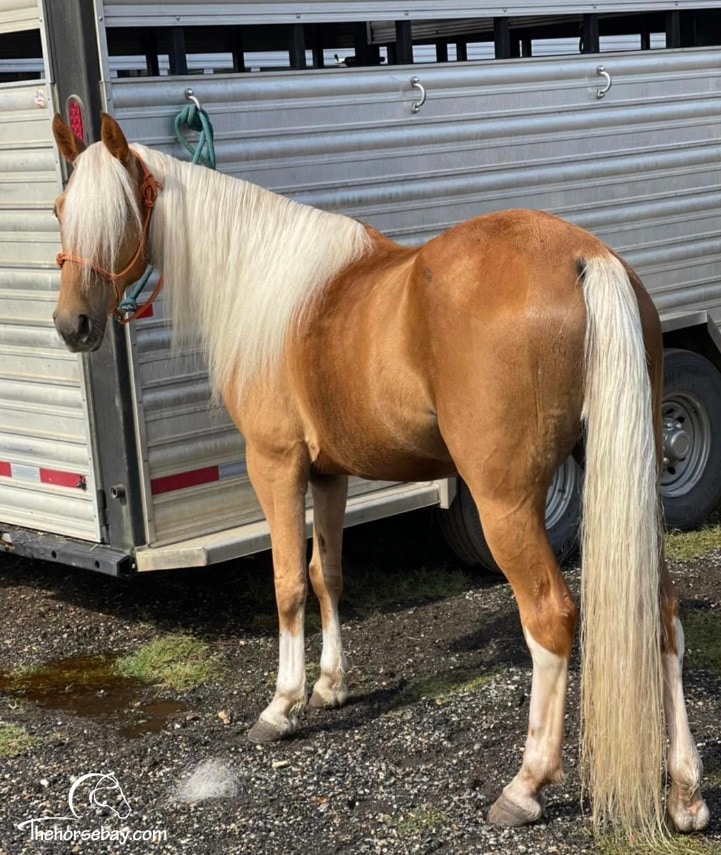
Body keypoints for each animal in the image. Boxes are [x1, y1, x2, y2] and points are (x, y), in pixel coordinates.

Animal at [50, 112, 709, 839]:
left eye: (118, 217)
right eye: (59, 211)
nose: (71, 324)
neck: (267, 286)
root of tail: (580, 255)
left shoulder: (275, 465)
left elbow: (286, 583)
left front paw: (282, 705)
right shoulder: (329, 474)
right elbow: (327, 574)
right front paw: (331, 685)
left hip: (505, 503)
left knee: (549, 616)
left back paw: (525, 785)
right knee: (662, 613)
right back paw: (684, 793)